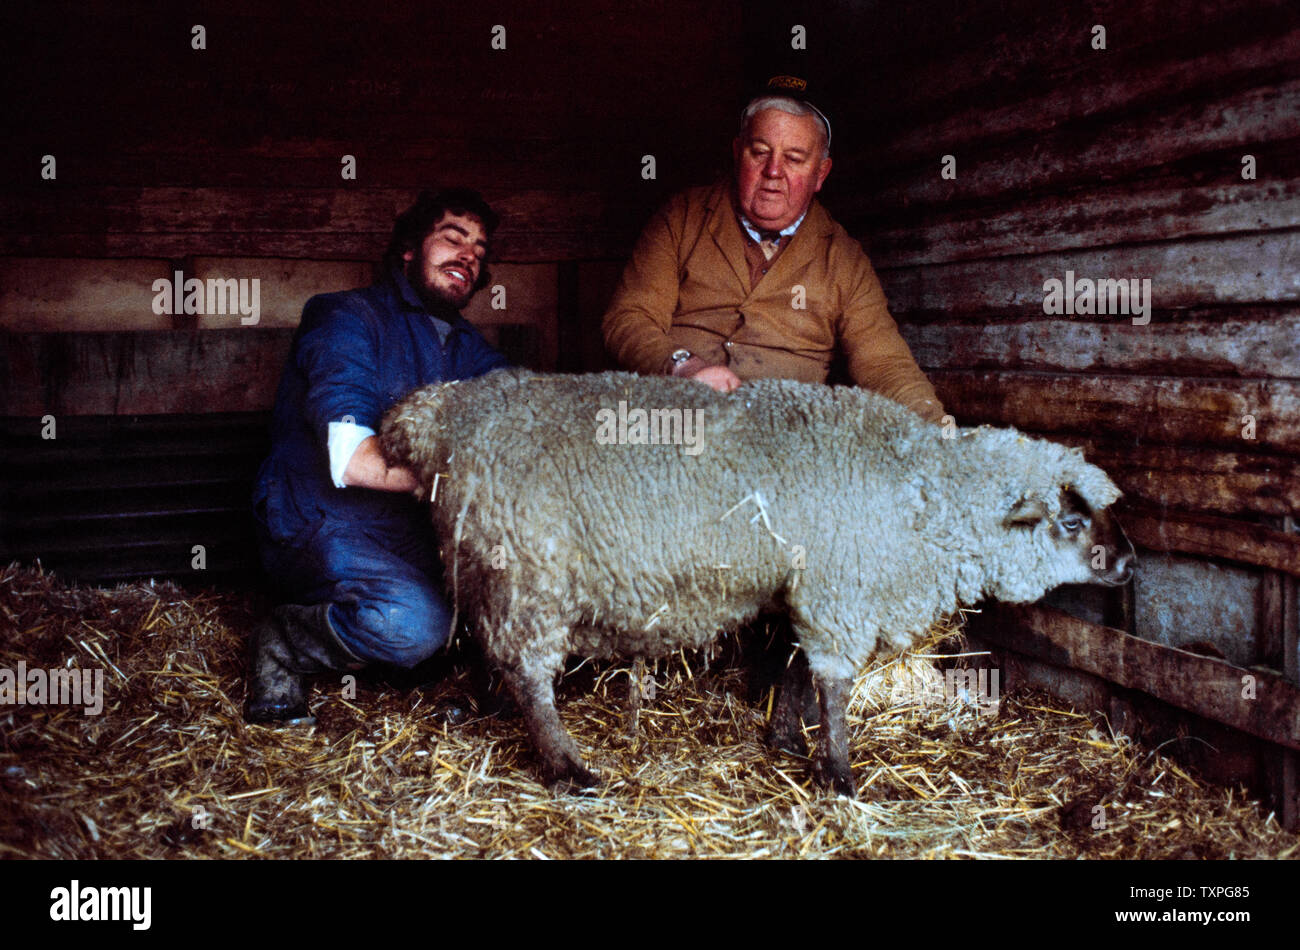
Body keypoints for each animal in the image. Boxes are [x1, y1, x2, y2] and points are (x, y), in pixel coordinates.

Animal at [380, 369, 1134, 795]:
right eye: (1070, 520)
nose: (1128, 560)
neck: (918, 495)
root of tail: (437, 414)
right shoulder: (838, 591)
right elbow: (833, 685)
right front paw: (838, 774)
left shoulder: (804, 587)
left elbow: (795, 668)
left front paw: (786, 740)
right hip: (527, 574)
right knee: (529, 672)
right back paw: (568, 768)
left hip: (490, 572)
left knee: (494, 654)